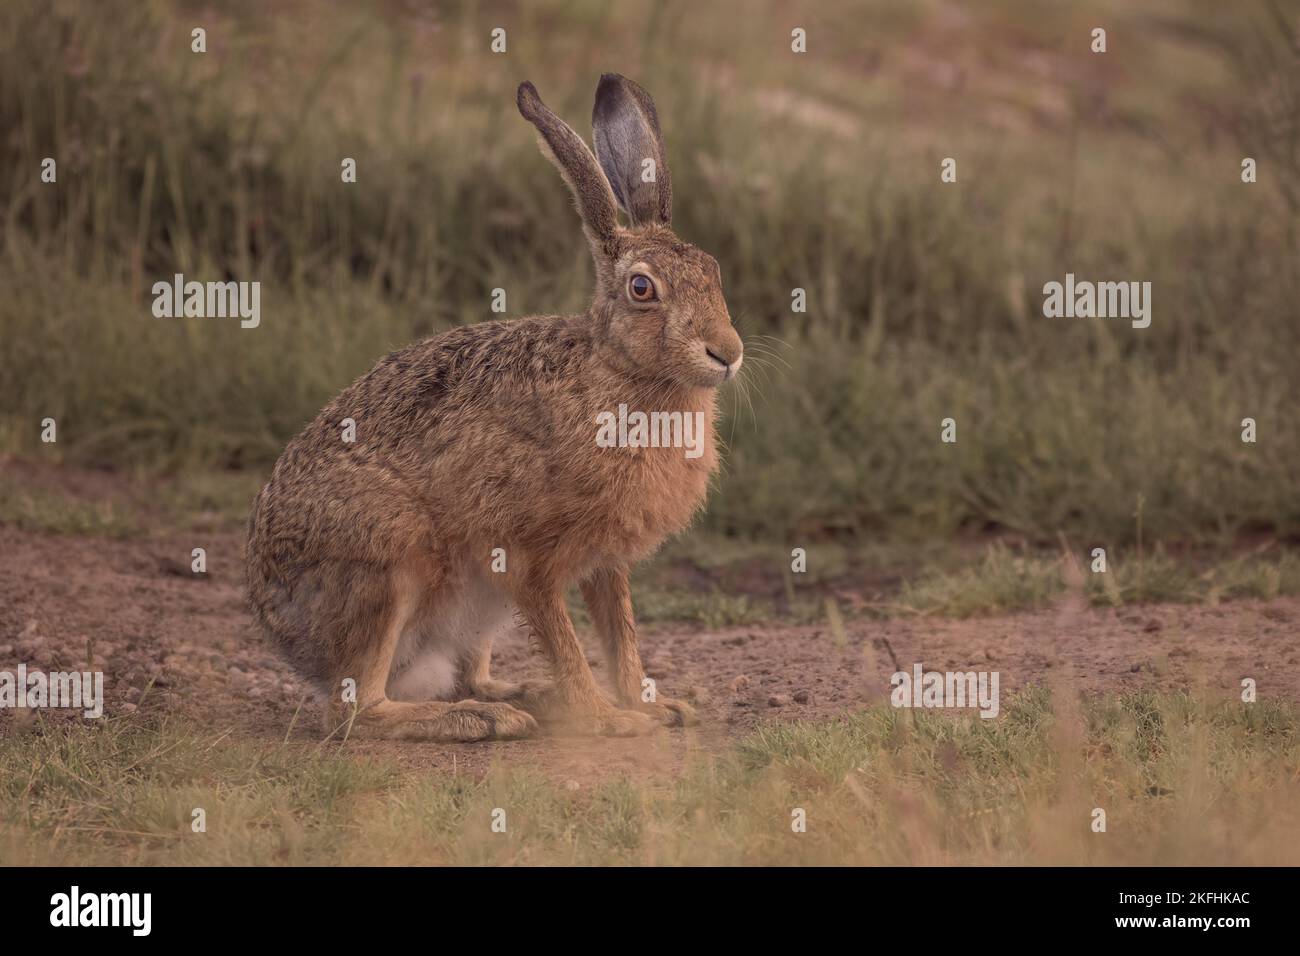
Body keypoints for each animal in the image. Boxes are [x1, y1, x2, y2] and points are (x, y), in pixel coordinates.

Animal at [245, 74, 743, 741]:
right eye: (643, 288)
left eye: (713, 271)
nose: (727, 353)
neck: (619, 374)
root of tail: (283, 633)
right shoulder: (527, 559)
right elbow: (566, 640)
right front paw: (608, 720)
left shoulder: (608, 563)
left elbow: (621, 637)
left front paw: (652, 707)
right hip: (387, 563)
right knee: (356, 710)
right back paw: (479, 719)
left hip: (473, 615)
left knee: (465, 674)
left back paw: (522, 700)